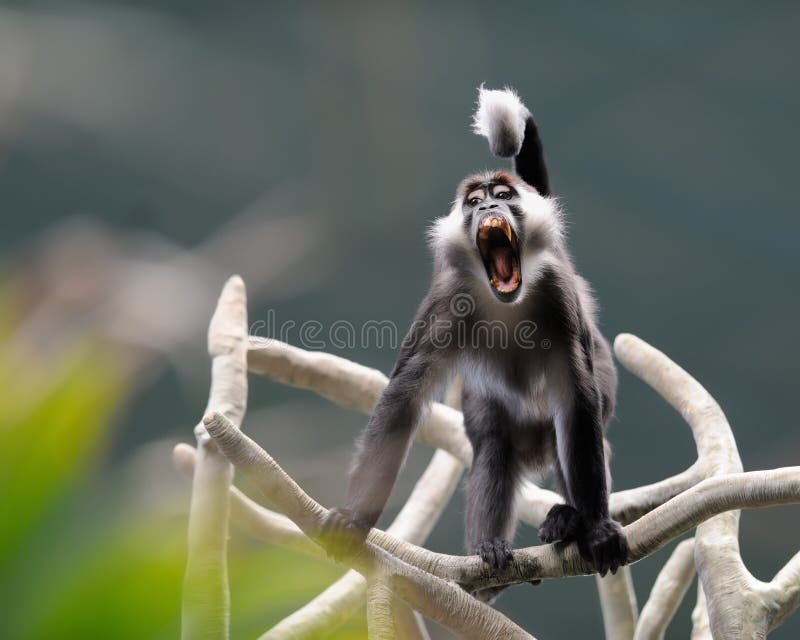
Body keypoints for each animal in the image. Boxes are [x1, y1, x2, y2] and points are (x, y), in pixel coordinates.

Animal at [320, 86, 628, 601]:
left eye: (504, 197)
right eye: (474, 203)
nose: (488, 210)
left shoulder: (558, 296)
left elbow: (578, 403)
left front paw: (598, 527)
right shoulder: (449, 300)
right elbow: (403, 399)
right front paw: (355, 518)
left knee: (573, 425)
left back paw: (570, 519)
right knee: (493, 446)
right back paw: (490, 551)